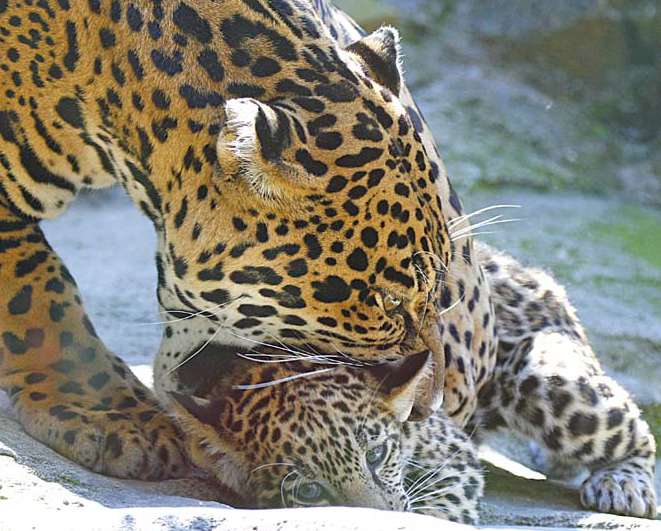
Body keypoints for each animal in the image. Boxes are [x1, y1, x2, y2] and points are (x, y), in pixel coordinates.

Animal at [0, 0, 655, 524]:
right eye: (388, 301)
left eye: (444, 284)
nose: (435, 404)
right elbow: (40, 299)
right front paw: (108, 413)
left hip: (556, 377)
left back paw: (623, 483)